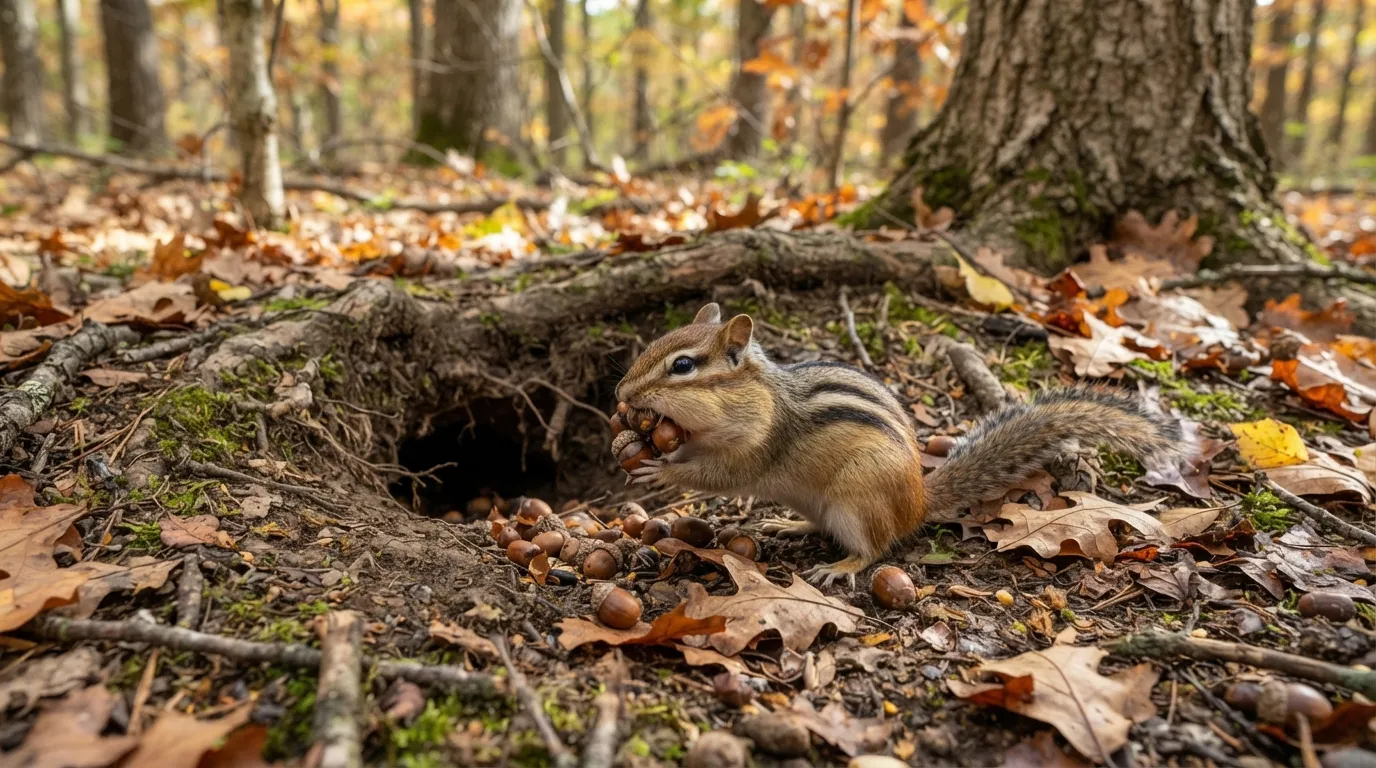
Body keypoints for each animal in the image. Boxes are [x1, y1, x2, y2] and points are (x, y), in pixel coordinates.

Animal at [615, 302, 1194, 587]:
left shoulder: (755, 446)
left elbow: (718, 475)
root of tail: (918, 500)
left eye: (682, 365)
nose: (620, 394)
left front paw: (661, 471)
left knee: (874, 548)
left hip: (859, 500)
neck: (753, 397)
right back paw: (790, 524)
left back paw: (839, 567)